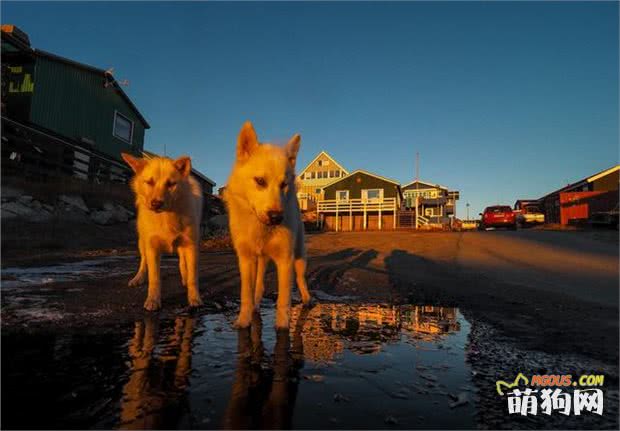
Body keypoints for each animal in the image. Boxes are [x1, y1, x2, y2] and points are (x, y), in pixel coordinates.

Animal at [118, 154, 201, 312]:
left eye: (171, 184)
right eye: (149, 182)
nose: (156, 204)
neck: (166, 217)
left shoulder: (190, 245)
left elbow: (193, 276)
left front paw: (194, 297)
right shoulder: (152, 248)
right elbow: (154, 278)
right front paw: (153, 300)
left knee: (182, 262)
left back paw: (184, 277)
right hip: (142, 243)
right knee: (143, 262)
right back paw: (138, 278)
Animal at [223, 120, 310, 330]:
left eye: (283, 184)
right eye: (260, 181)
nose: (277, 217)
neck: (261, 229)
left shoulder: (285, 261)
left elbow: (284, 300)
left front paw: (283, 326)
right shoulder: (246, 260)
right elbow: (246, 294)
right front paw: (243, 321)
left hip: (299, 257)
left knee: (301, 279)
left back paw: (307, 299)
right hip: (260, 261)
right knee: (259, 286)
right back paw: (256, 305)